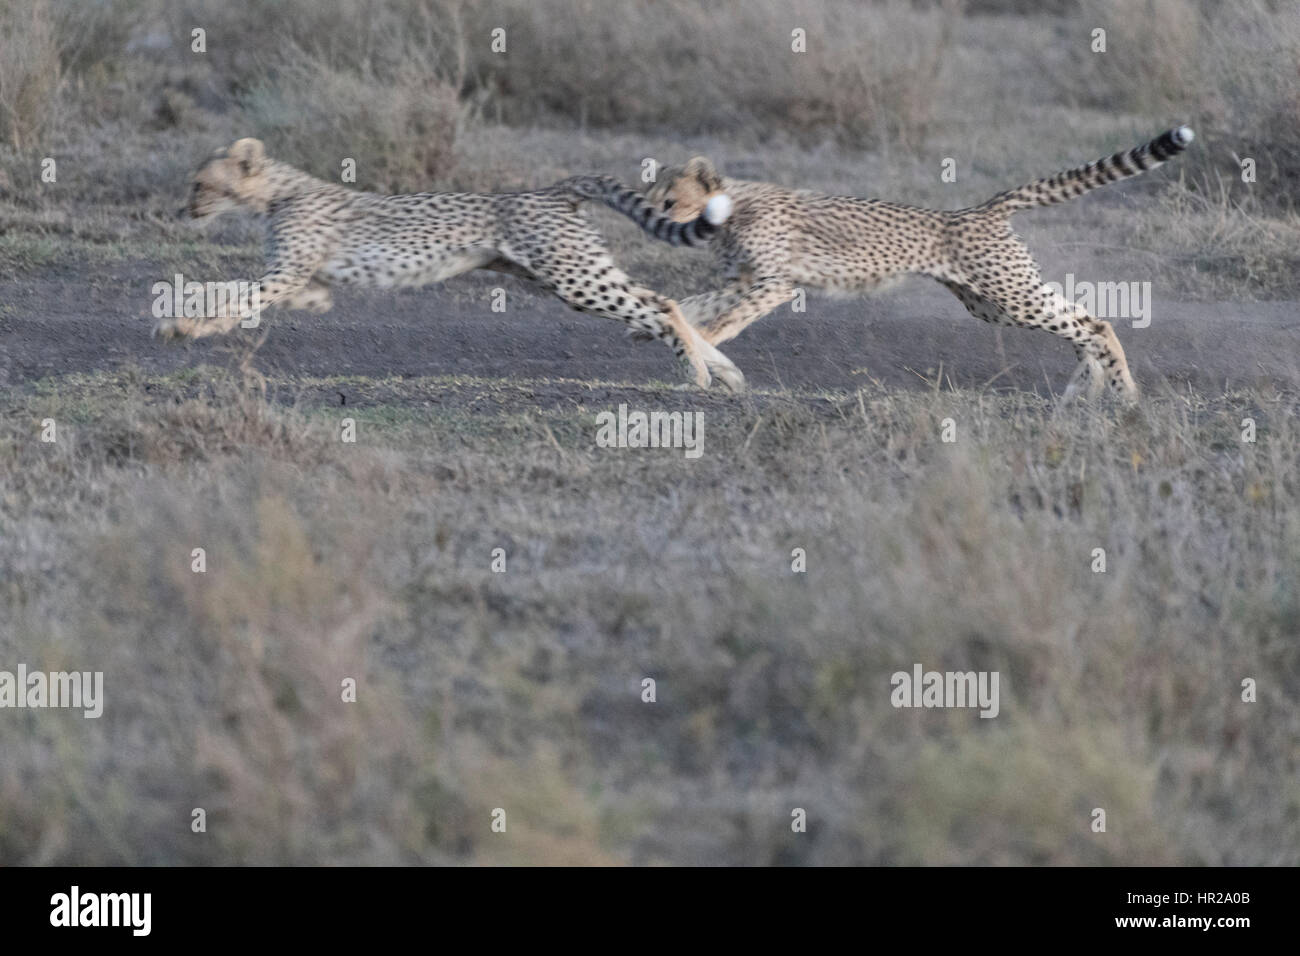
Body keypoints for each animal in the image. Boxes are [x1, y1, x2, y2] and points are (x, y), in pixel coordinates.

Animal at [157, 137, 744, 391]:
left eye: (201, 184)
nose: (185, 208)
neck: (278, 192)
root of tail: (552, 188)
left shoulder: (286, 273)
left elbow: (232, 293)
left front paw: (184, 327)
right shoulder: (305, 282)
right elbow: (243, 297)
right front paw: (197, 324)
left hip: (574, 276)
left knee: (660, 307)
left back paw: (698, 373)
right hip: (569, 273)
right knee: (664, 301)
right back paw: (725, 371)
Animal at [643, 127, 1196, 403]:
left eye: (670, 200)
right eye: (651, 197)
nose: (650, 218)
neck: (729, 208)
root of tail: (980, 208)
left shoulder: (775, 283)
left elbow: (721, 323)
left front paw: (704, 355)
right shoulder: (744, 280)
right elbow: (693, 304)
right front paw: (676, 336)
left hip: (1009, 294)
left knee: (1094, 323)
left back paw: (1123, 392)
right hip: (993, 302)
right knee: (1082, 320)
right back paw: (1090, 386)